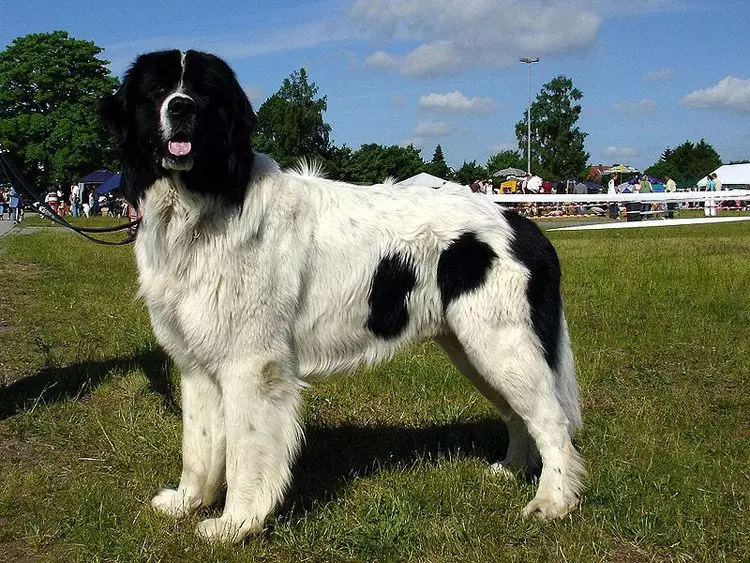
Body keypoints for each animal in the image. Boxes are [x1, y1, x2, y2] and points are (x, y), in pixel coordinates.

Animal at [100, 50, 588, 544]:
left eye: (202, 93)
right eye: (158, 91)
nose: (181, 108)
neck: (204, 203)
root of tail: (524, 225)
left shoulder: (251, 365)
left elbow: (244, 452)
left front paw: (235, 523)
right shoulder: (196, 364)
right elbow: (197, 446)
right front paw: (188, 502)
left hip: (502, 343)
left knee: (552, 421)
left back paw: (553, 501)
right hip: (472, 347)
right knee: (518, 415)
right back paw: (511, 469)